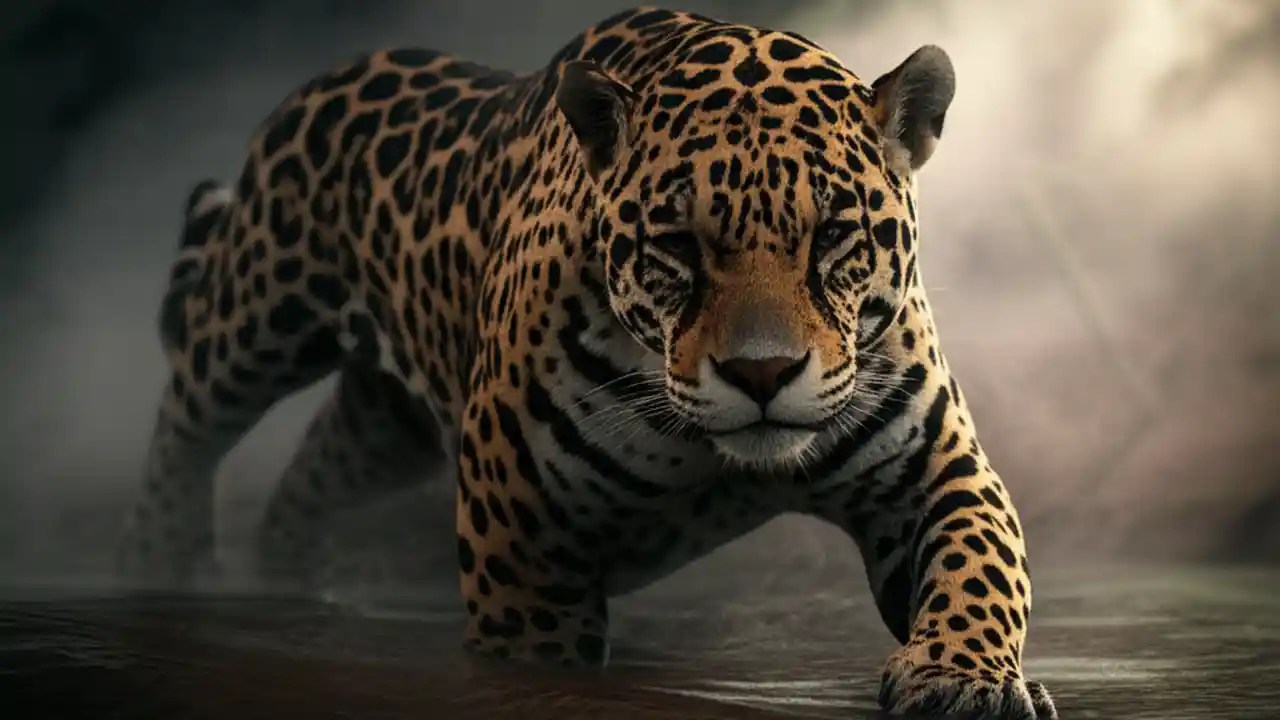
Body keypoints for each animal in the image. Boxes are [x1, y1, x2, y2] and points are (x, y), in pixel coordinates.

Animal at [118, 7, 1057, 718]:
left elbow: (981, 565)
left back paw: (289, 578)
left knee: (305, 482)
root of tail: (345, 69)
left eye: (831, 235)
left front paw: (962, 680)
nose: (761, 375)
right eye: (677, 246)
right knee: (183, 421)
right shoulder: (524, 558)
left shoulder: (929, 471)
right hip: (256, 317)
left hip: (387, 424)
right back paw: (172, 568)